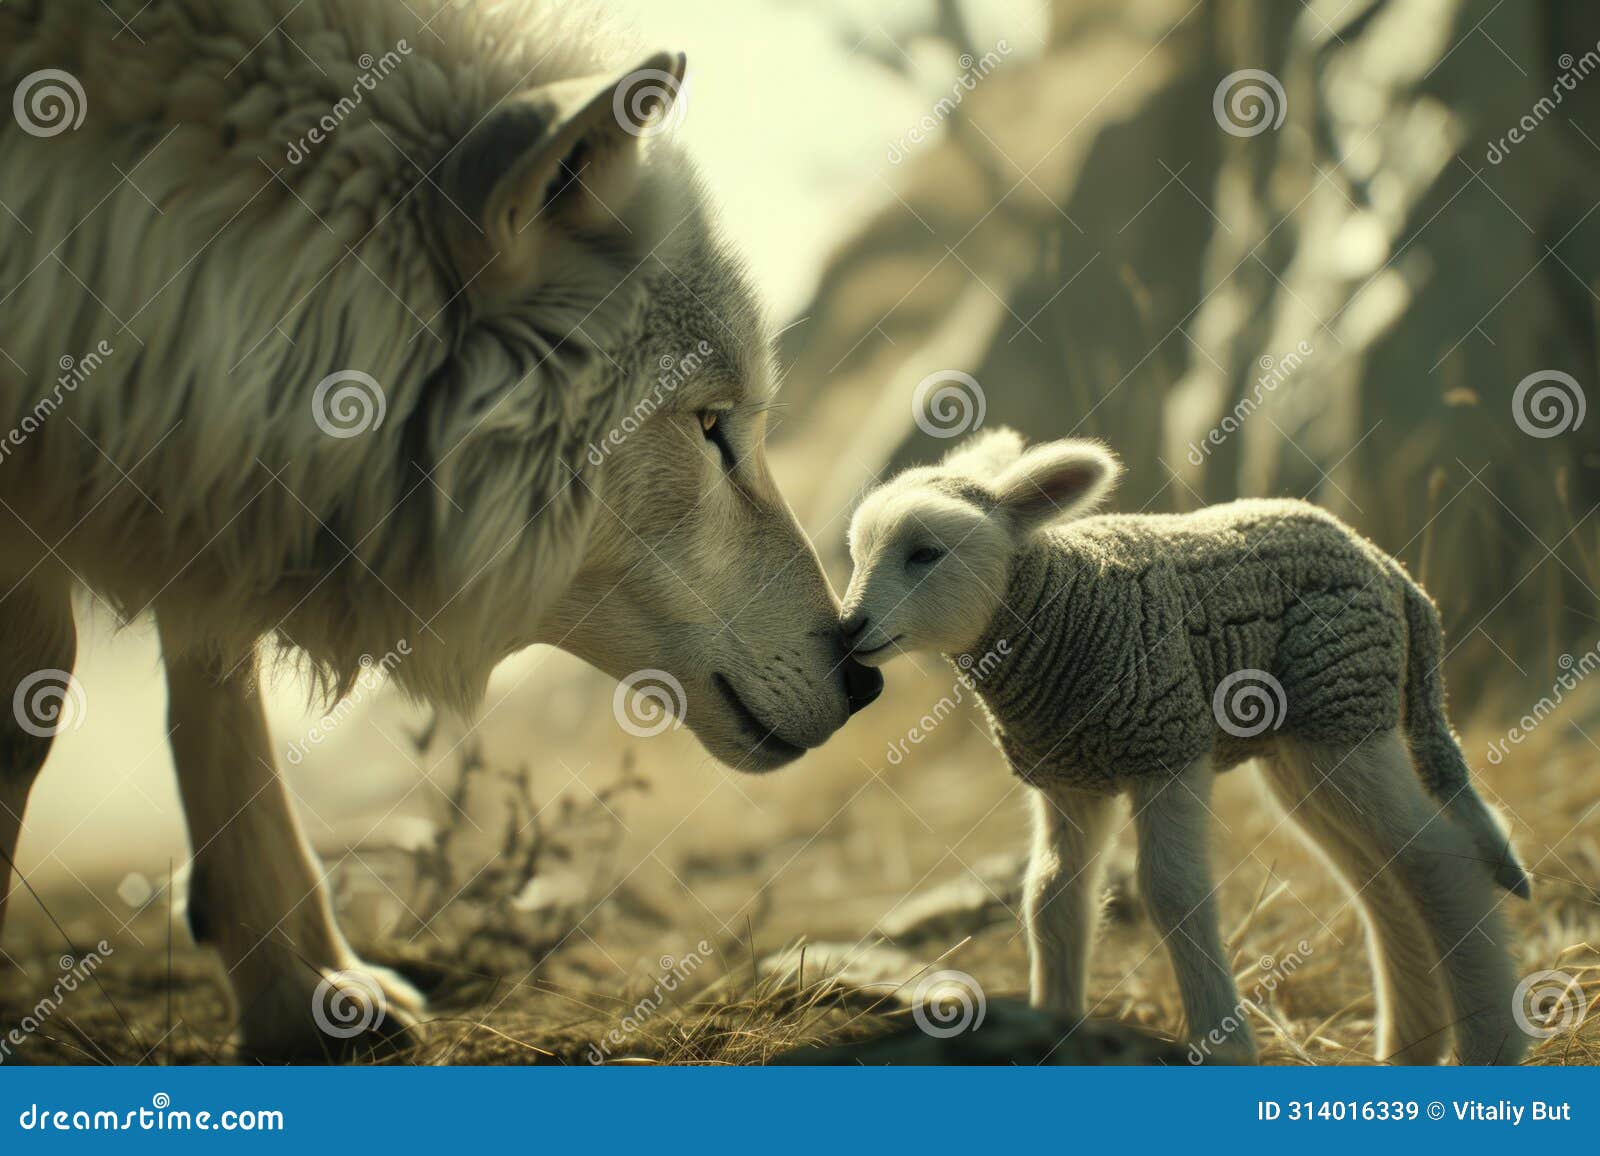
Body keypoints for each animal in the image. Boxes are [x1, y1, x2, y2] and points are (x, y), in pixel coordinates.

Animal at [841, 428, 1532, 1065]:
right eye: (856, 553)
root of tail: (1391, 570)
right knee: (1381, 880)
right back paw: (1408, 1047)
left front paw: (1225, 1045)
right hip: (1303, 747)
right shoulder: (1067, 775)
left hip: (1346, 699)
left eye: (926, 553)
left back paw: (1489, 1044)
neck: (1067, 610)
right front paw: (1050, 1032)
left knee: (1438, 855)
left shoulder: (1167, 744)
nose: (849, 629)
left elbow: (1172, 891)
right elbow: (1051, 898)